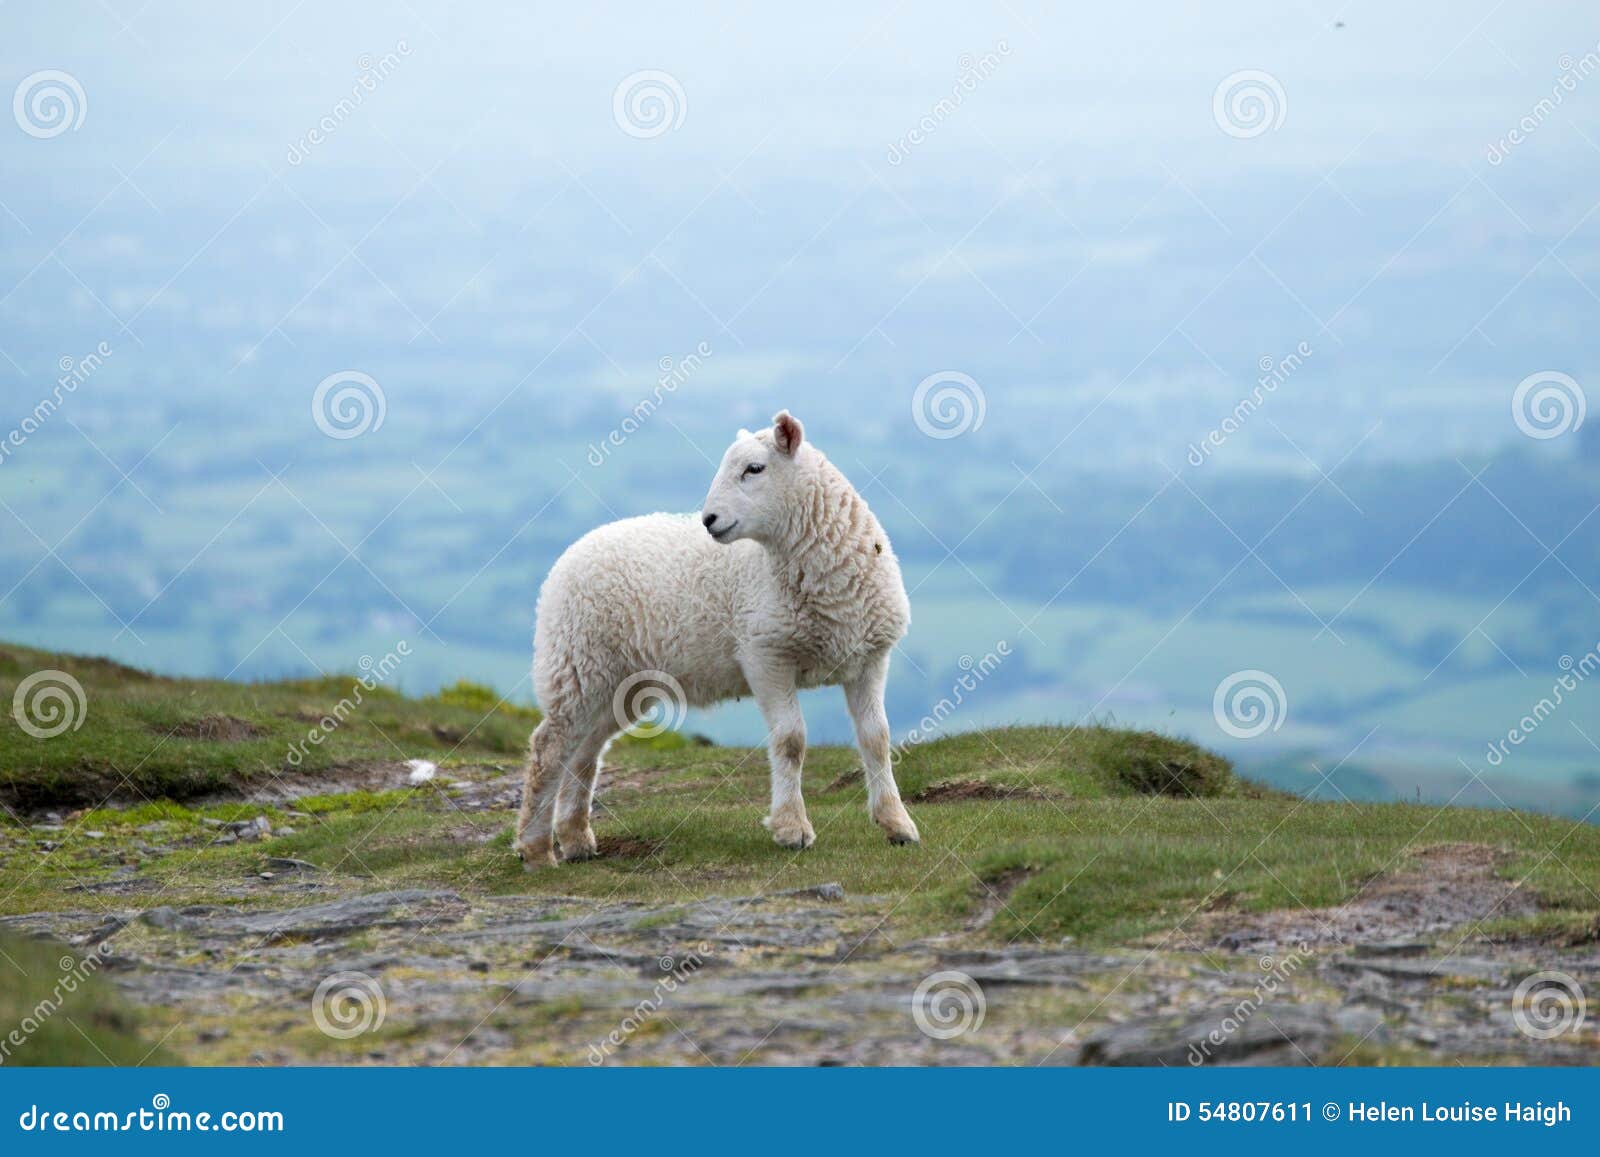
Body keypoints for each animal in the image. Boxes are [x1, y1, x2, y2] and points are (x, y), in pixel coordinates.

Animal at [515, 410, 921, 868]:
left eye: (754, 469)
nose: (708, 520)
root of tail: (570, 553)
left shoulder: (869, 659)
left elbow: (877, 738)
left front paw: (897, 824)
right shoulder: (765, 654)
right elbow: (791, 741)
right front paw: (791, 829)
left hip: (620, 681)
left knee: (584, 752)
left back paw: (576, 838)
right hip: (576, 662)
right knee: (550, 747)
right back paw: (536, 850)